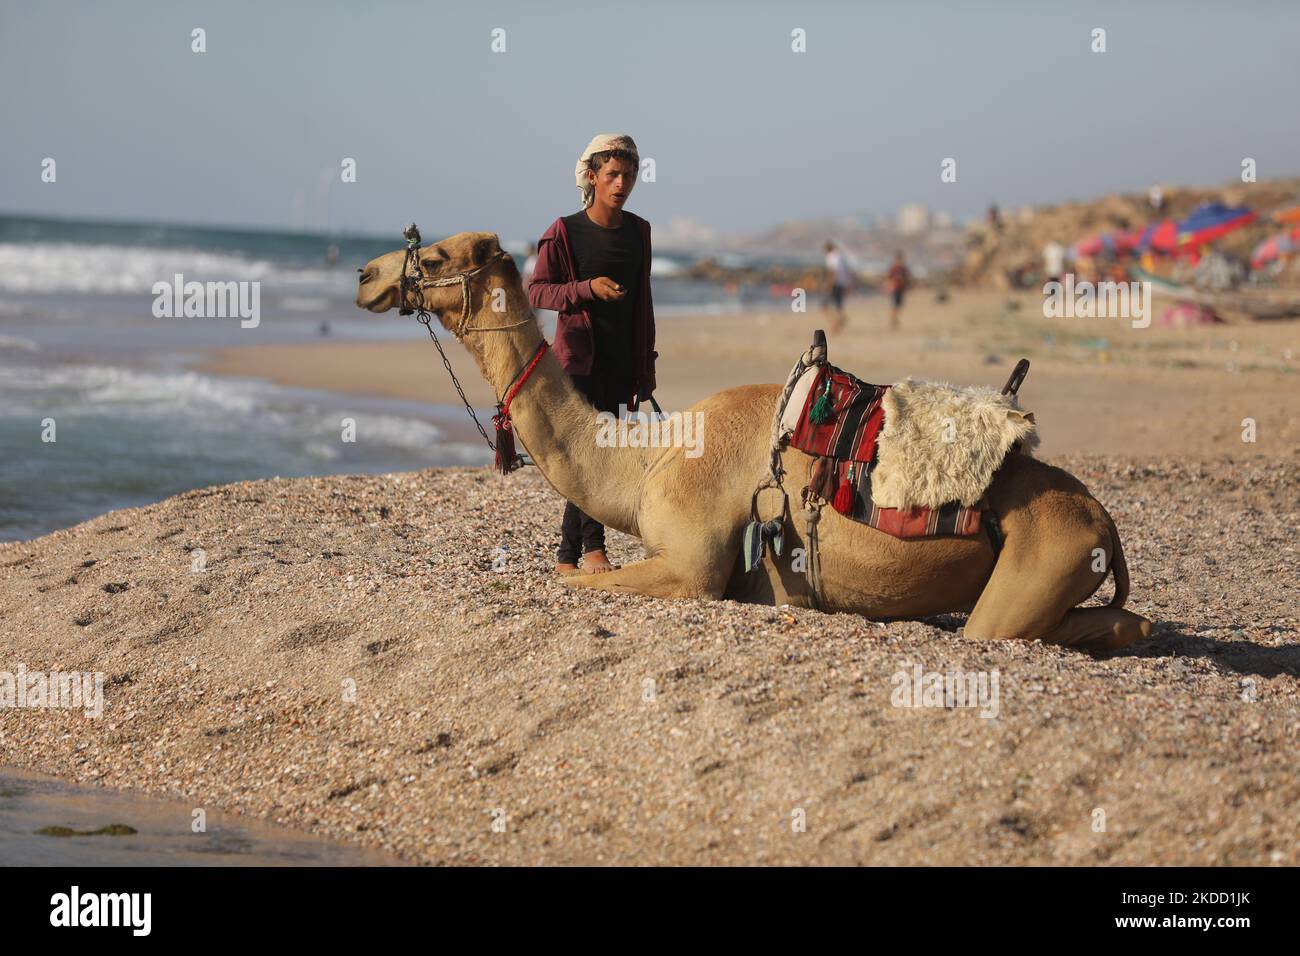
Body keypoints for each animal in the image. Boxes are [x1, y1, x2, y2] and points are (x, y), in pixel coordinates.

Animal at [357, 231, 1152, 652]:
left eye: (434, 257)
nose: (365, 275)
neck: (646, 458)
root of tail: (1106, 521)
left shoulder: (693, 567)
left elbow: (581, 580)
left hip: (1035, 563)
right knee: (1126, 621)